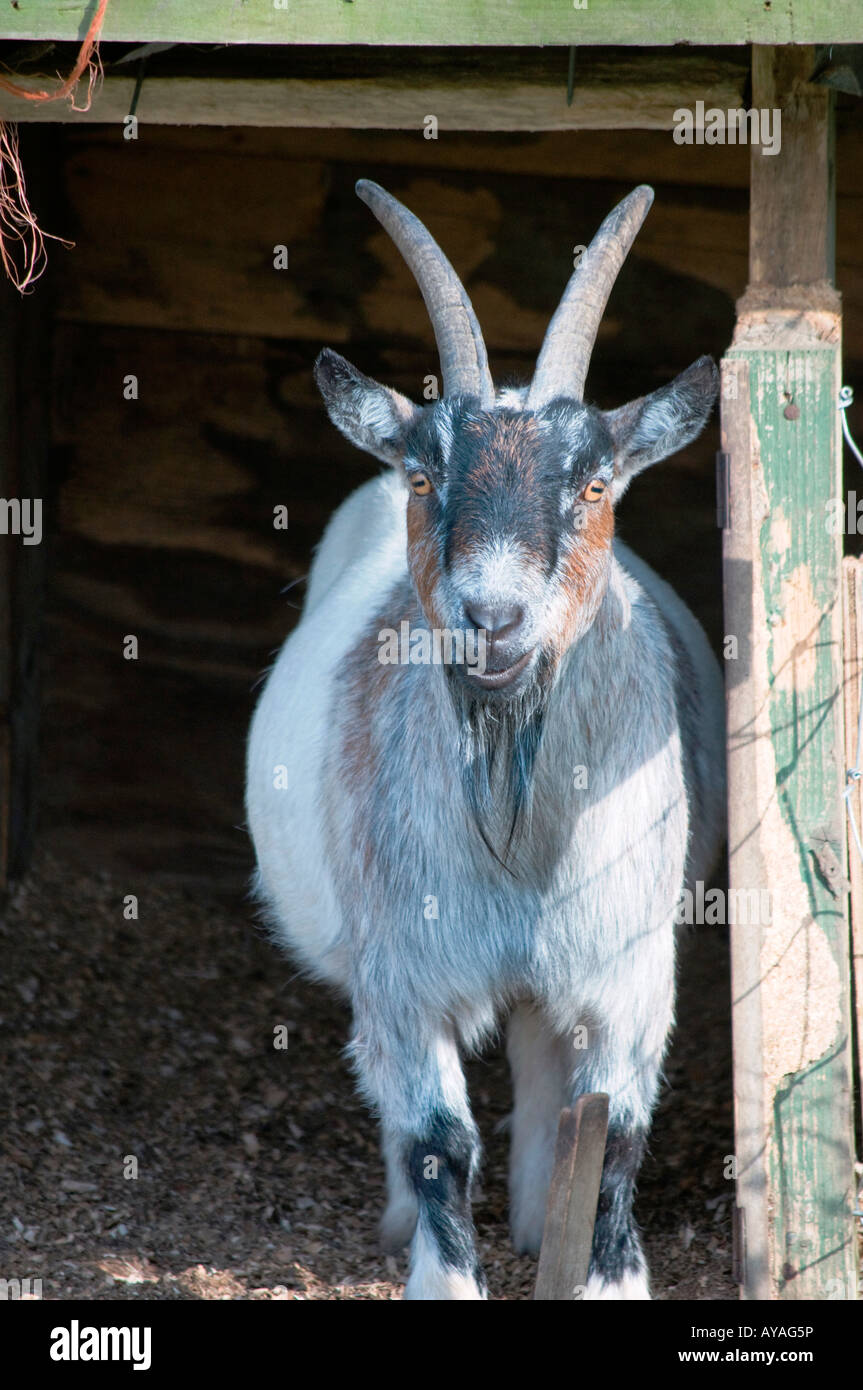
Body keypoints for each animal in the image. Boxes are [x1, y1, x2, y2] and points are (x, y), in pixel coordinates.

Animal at [246, 180, 726, 1300]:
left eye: (593, 485)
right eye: (427, 479)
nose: (491, 616)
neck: (522, 840)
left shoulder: (630, 972)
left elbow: (618, 1137)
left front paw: (603, 1273)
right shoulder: (404, 969)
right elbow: (436, 1139)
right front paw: (441, 1269)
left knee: (551, 1074)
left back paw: (537, 1220)